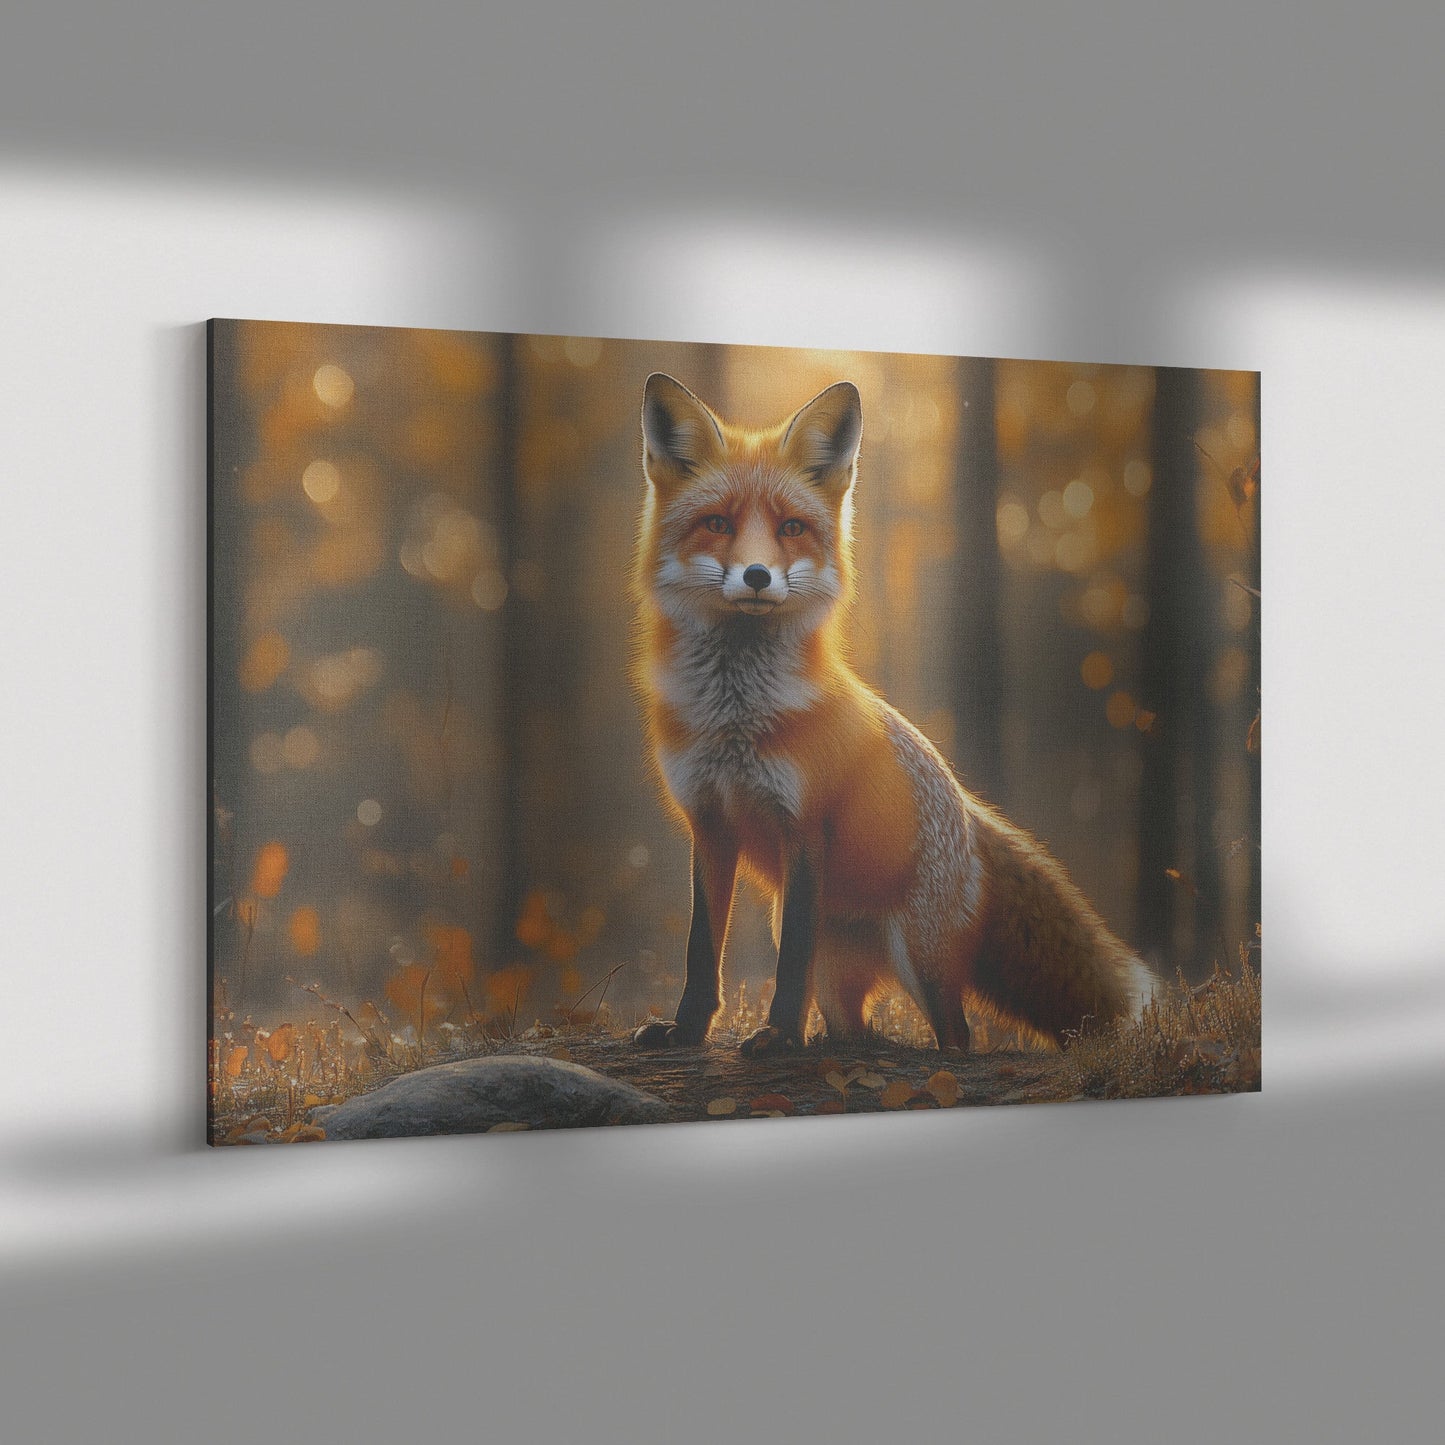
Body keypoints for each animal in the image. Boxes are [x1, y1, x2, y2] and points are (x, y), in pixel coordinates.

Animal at [630, 372, 1154, 1057]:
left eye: (791, 527)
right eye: (717, 523)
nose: (757, 575)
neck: (735, 716)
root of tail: (967, 812)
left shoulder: (806, 826)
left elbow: (790, 961)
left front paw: (779, 1037)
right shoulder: (711, 824)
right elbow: (700, 949)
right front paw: (689, 1030)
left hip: (921, 963)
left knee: (957, 1038)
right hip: (834, 966)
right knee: (853, 1027)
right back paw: (837, 1048)